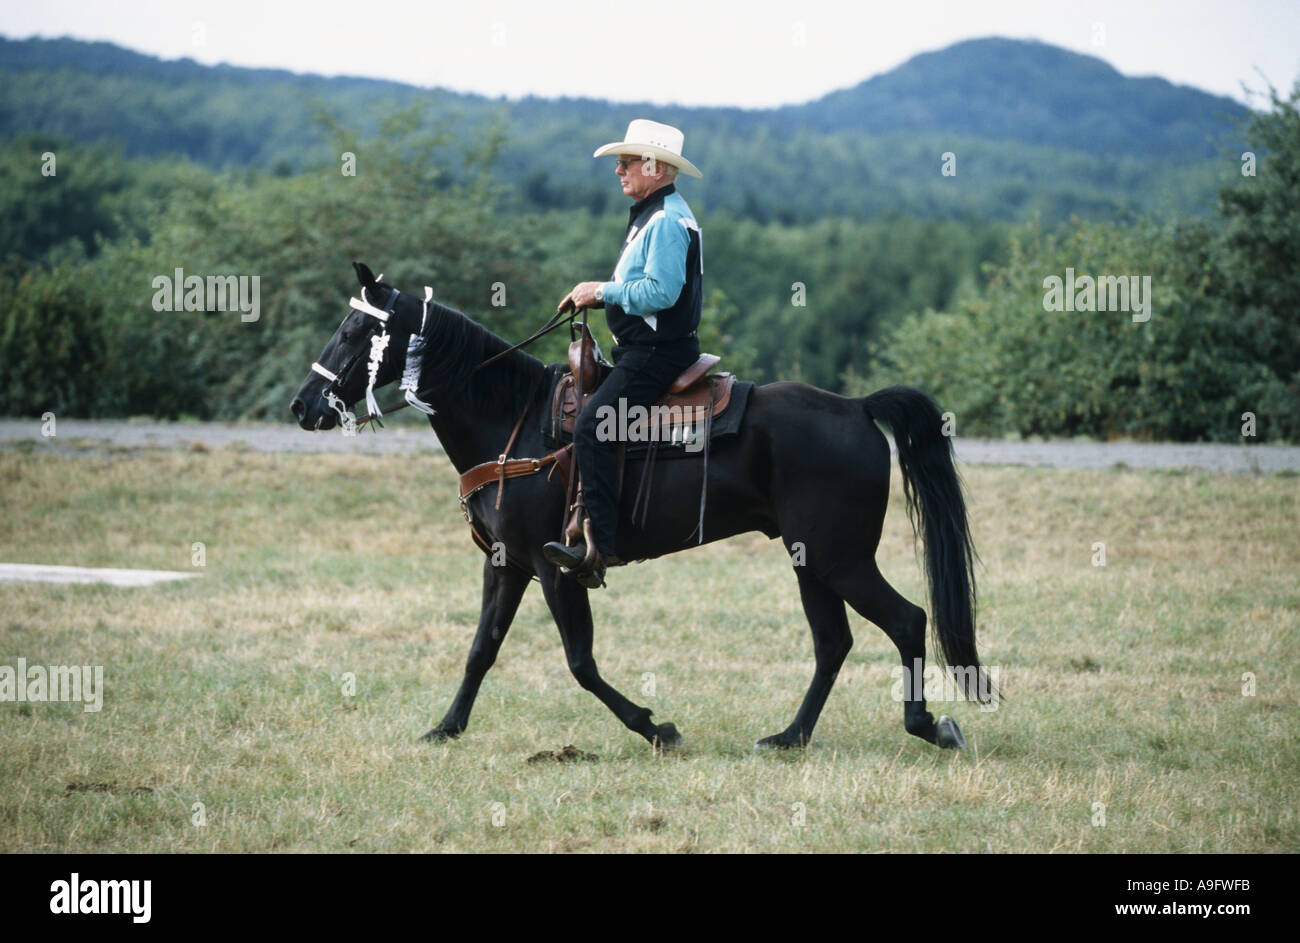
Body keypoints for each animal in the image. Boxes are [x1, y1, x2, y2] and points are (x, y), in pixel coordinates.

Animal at [290, 262, 994, 752]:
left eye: (355, 329)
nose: (303, 406)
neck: (512, 420)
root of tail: (856, 408)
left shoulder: (555, 567)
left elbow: (580, 662)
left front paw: (656, 728)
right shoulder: (506, 564)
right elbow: (481, 650)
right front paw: (445, 727)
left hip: (839, 557)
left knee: (905, 620)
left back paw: (928, 726)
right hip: (809, 560)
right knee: (833, 643)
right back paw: (789, 737)